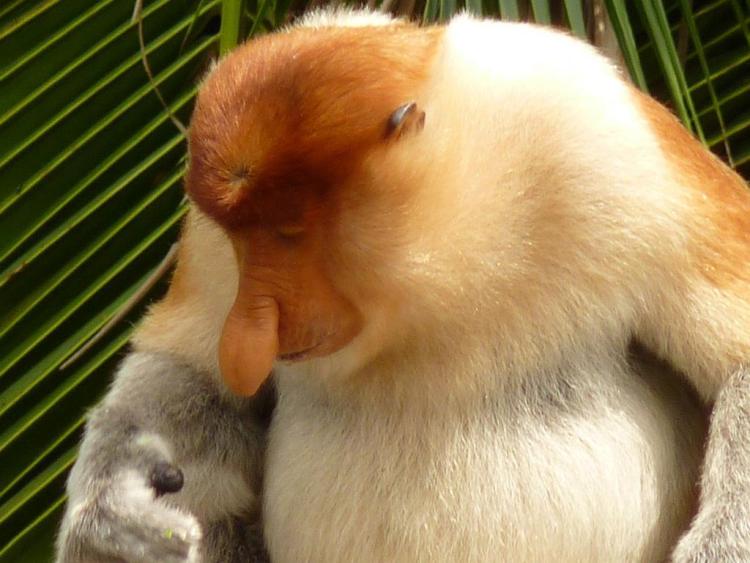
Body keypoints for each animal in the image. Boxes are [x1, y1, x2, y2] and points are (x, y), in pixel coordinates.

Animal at [57, 8, 750, 563]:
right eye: (238, 238)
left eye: (287, 231)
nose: (247, 335)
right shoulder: (204, 246)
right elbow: (192, 368)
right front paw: (110, 513)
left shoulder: (612, 148)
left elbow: (736, 363)